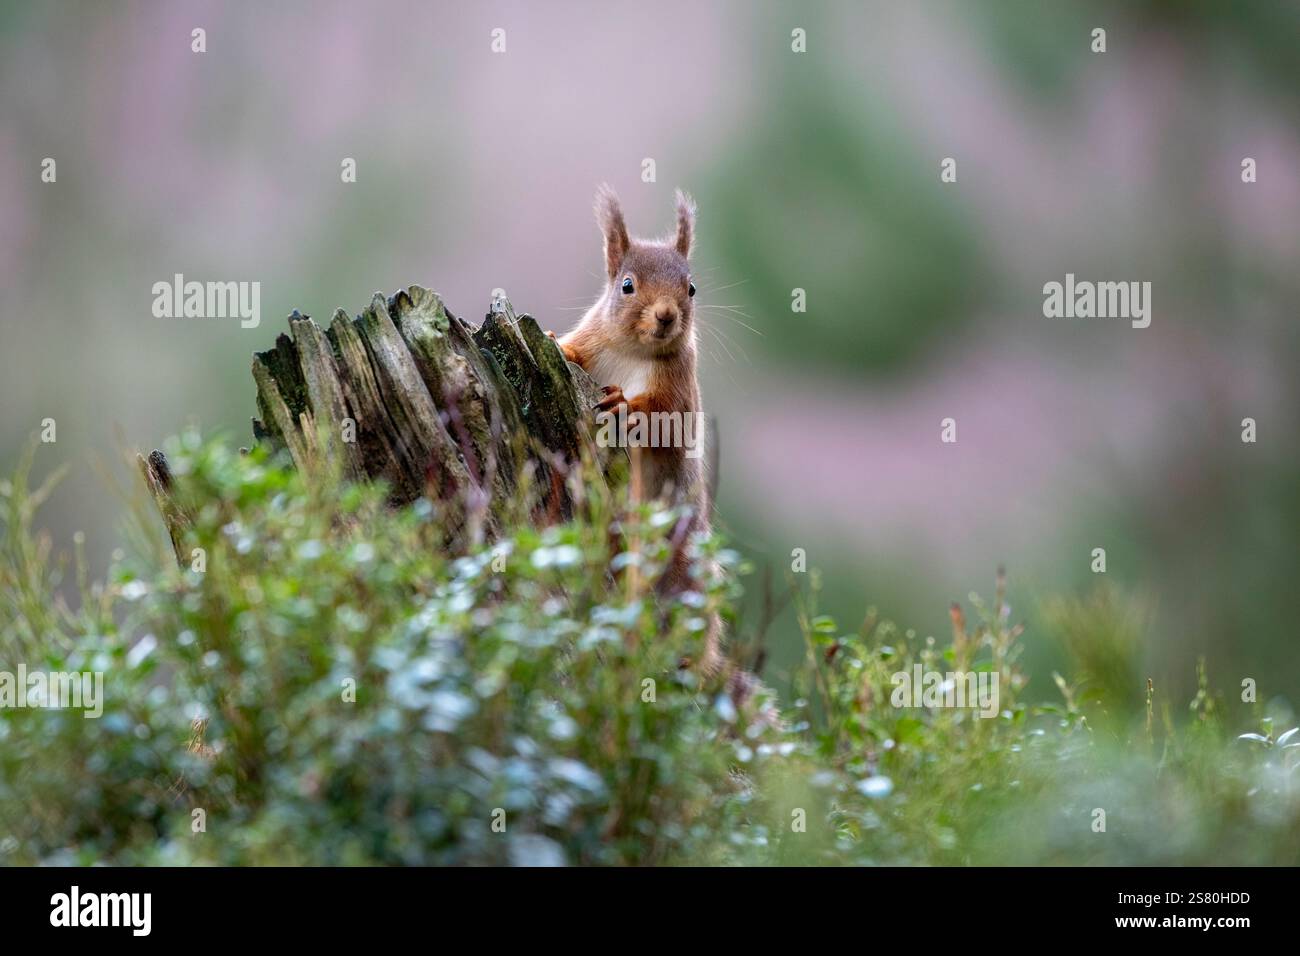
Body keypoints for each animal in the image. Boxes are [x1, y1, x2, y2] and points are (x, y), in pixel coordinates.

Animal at [549, 185, 721, 674]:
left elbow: (663, 420)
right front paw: (553, 340)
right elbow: (573, 349)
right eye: (627, 285)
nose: (666, 315)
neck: (633, 351)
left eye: (691, 288)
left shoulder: (678, 389)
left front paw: (622, 403)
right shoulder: (592, 341)